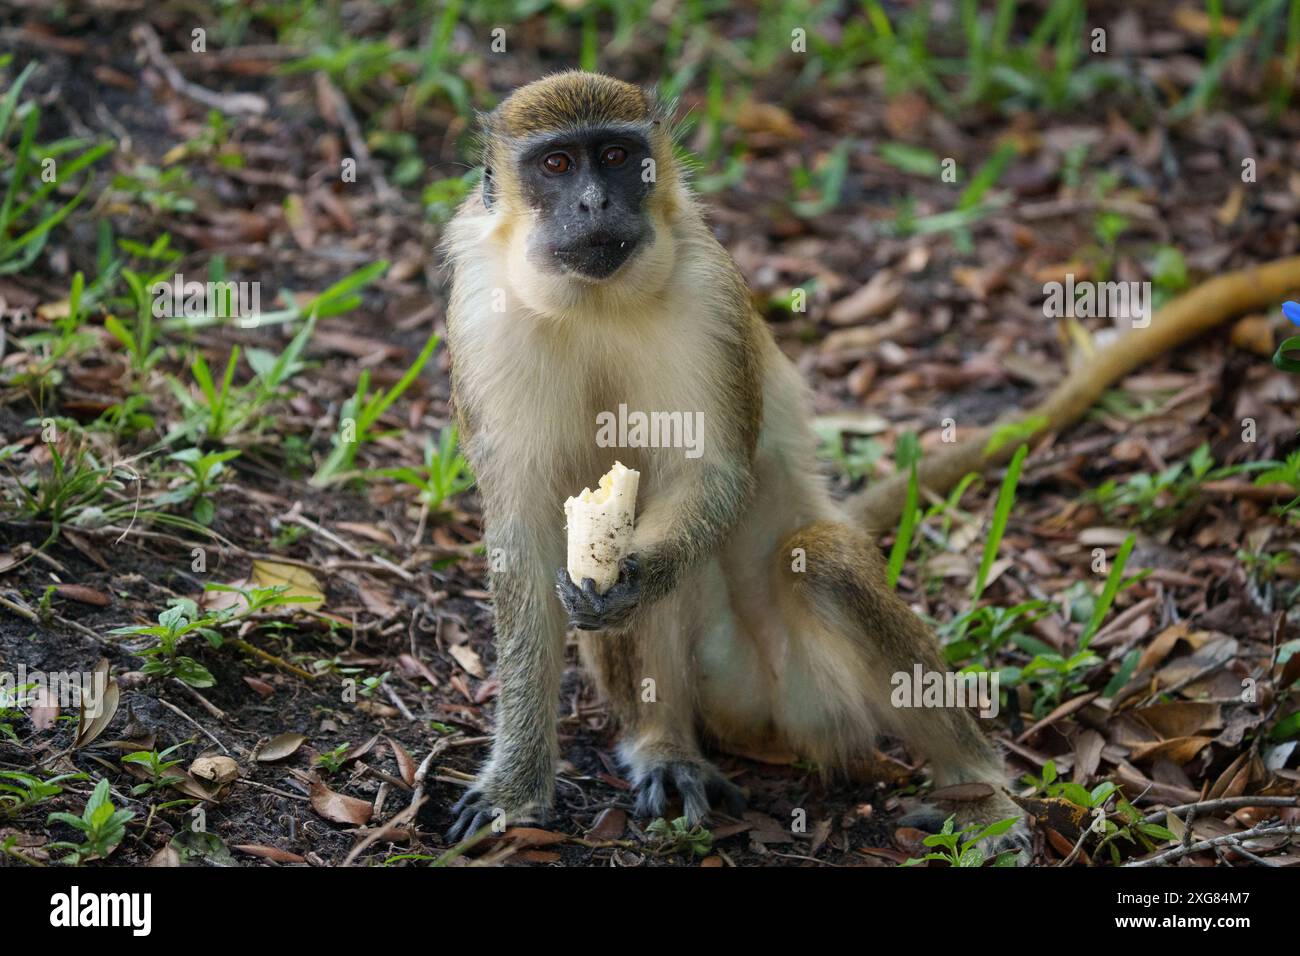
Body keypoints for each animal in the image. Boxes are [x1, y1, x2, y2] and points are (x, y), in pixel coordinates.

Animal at [442, 70, 1030, 858]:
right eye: (557, 164)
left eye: (617, 156)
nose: (595, 202)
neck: (594, 303)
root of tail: (764, 728)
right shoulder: (480, 314)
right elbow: (526, 543)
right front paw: (516, 787)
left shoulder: (709, 291)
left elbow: (709, 475)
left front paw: (635, 576)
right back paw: (664, 747)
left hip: (812, 696)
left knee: (823, 560)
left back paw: (980, 790)